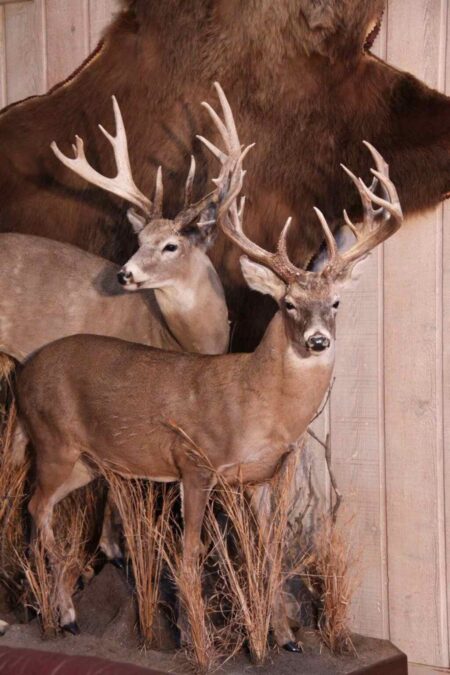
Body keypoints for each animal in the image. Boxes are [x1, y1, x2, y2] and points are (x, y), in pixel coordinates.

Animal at [1, 95, 238, 564]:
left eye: (171, 245)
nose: (124, 274)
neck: (183, 338)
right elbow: (119, 479)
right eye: (139, 239)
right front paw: (113, 546)